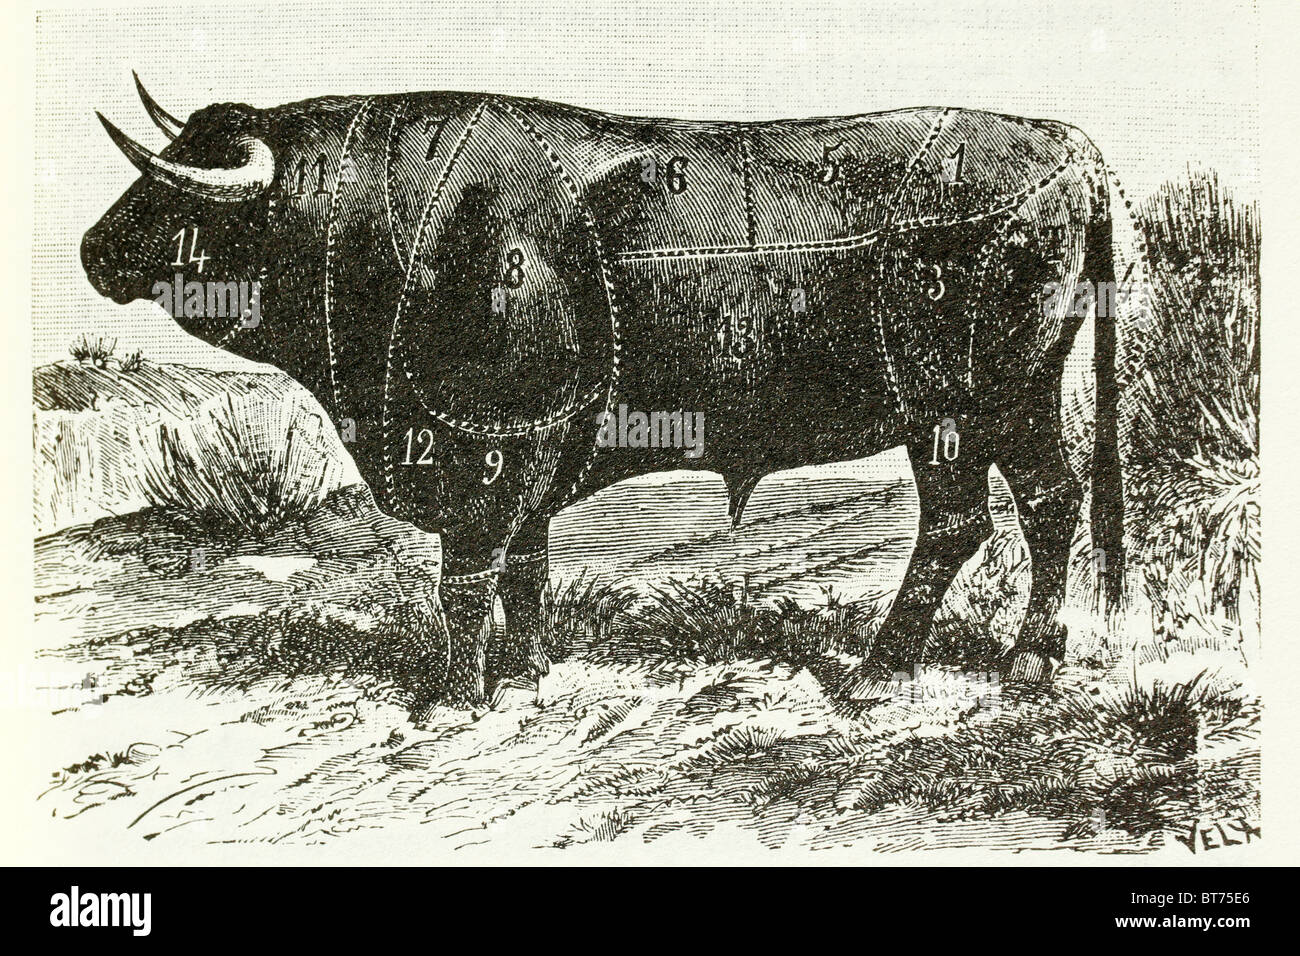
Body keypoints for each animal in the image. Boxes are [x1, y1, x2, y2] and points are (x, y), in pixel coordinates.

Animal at [81, 77, 1124, 706]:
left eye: (176, 194)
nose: (91, 249)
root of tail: (1066, 144)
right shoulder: (526, 458)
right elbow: (525, 571)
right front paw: (525, 676)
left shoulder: (492, 446)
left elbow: (470, 574)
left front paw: (450, 697)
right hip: (1003, 404)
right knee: (1031, 505)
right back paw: (1004, 662)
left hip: (959, 407)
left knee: (978, 516)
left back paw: (903, 670)